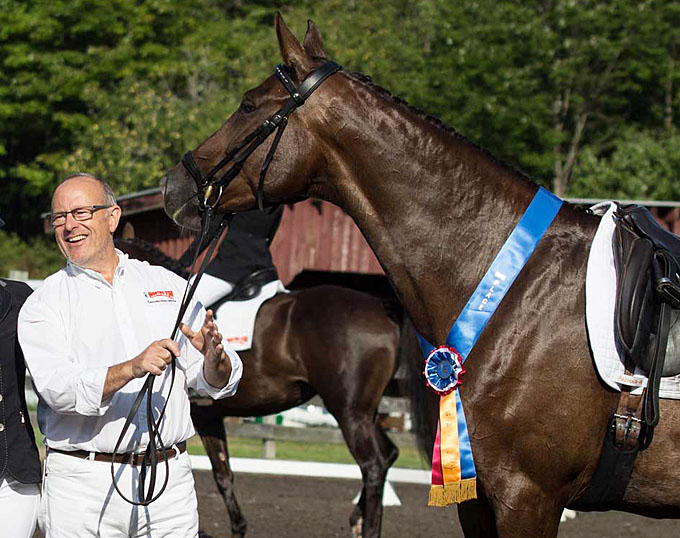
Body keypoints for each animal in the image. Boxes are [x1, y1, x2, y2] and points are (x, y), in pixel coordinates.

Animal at [114, 237, 436, 538]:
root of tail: (380, 305)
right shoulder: (210, 416)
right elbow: (224, 474)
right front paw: (238, 528)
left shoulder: (200, 415)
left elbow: (215, 474)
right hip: (366, 411)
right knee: (389, 454)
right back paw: (357, 520)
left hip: (348, 411)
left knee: (373, 465)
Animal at [160, 14, 680, 538]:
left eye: (248, 104)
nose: (173, 186)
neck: (522, 291)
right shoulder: (480, 494)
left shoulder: (529, 496)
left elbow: (218, 473)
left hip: (349, 407)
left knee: (374, 462)